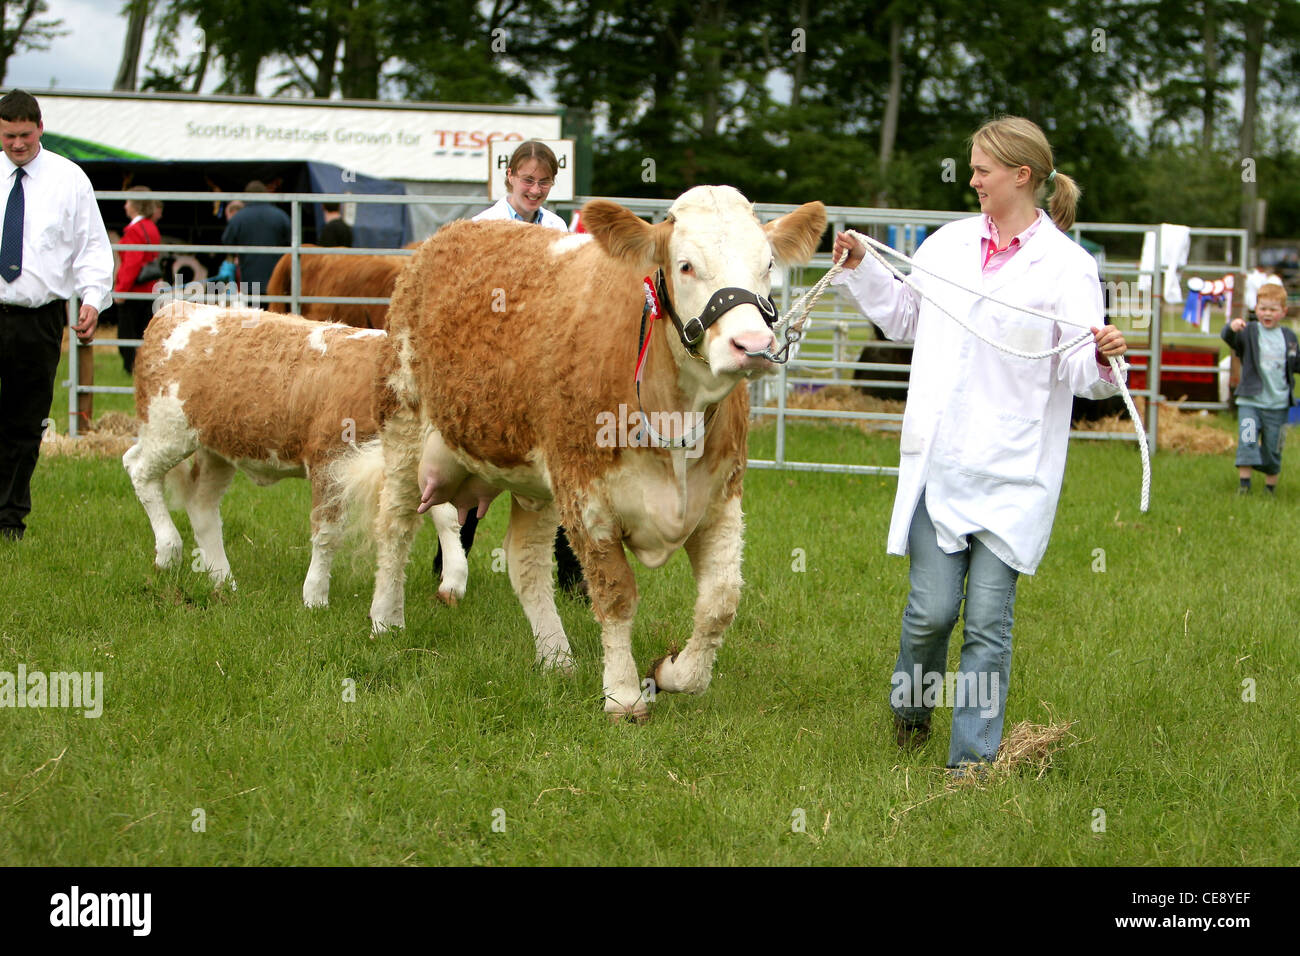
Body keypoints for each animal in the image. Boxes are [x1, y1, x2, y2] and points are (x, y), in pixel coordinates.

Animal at [122, 300, 467, 608]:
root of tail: (176, 309)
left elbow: (446, 515)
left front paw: (453, 580)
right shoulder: (331, 461)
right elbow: (327, 531)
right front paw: (315, 596)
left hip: (215, 449)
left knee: (201, 505)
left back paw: (223, 579)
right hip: (168, 431)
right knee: (138, 468)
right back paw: (169, 549)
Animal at [343, 186, 826, 720]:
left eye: (767, 264)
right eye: (685, 265)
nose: (753, 345)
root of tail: (446, 236)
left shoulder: (720, 499)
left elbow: (720, 601)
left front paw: (673, 673)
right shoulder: (587, 498)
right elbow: (615, 594)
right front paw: (623, 693)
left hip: (535, 481)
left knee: (525, 560)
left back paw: (555, 657)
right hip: (403, 421)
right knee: (396, 523)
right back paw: (386, 620)